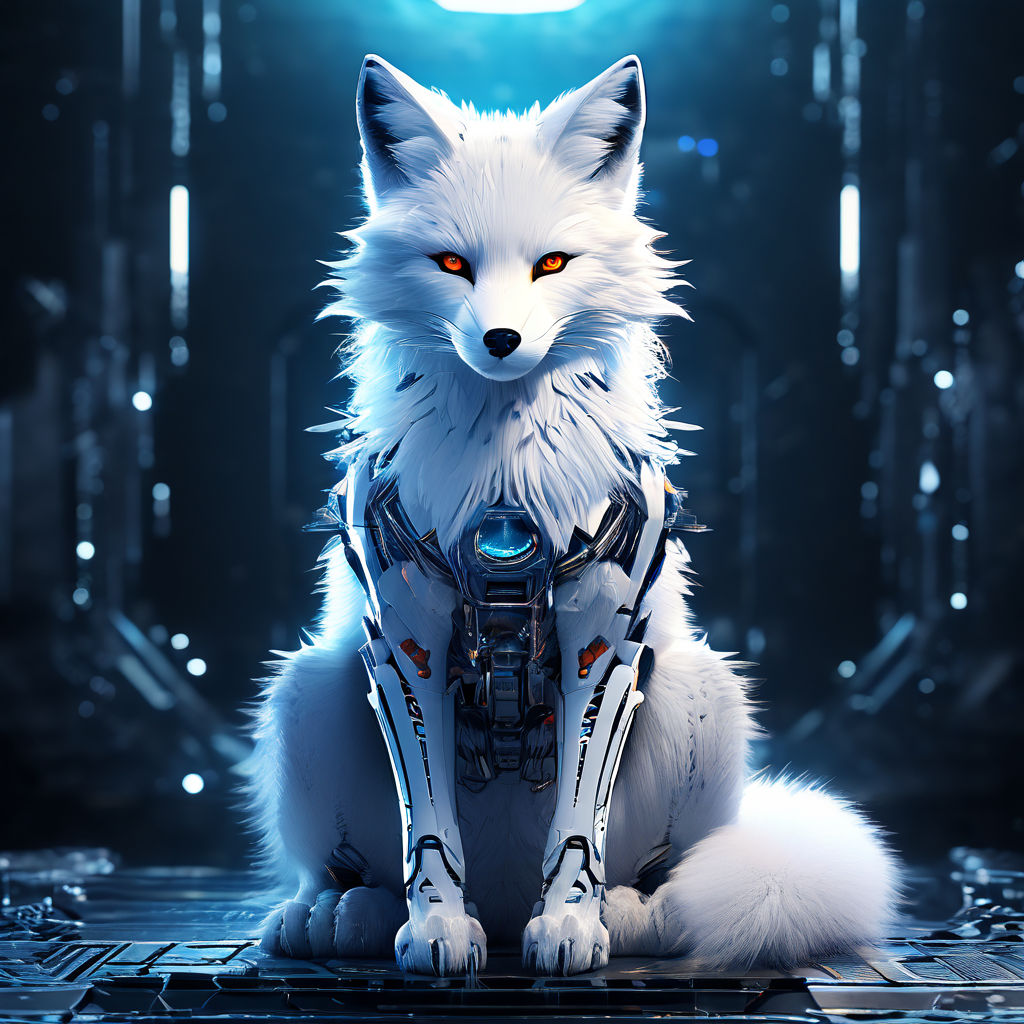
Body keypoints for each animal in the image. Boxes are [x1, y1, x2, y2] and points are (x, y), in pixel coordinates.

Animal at [245, 53, 898, 978]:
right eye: (451, 263)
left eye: (552, 263)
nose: (502, 341)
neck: (503, 487)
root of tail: (503, 896)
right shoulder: (405, 643)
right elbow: (428, 831)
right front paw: (437, 930)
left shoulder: (603, 641)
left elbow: (577, 830)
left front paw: (571, 928)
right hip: (307, 688)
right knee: (349, 862)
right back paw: (345, 912)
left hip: (704, 689)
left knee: (663, 879)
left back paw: (628, 916)